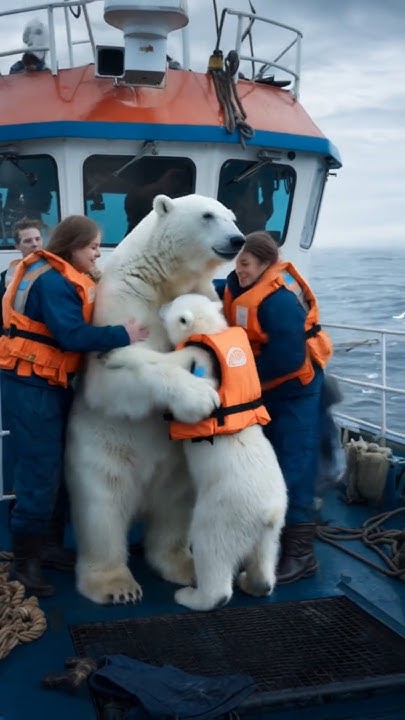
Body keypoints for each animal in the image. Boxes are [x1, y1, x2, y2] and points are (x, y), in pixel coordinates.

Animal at [65, 193, 245, 605]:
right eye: (208, 215)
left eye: (232, 215)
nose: (238, 239)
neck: (162, 277)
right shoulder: (124, 303)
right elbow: (117, 371)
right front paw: (197, 394)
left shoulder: (203, 293)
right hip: (99, 456)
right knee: (102, 512)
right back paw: (115, 585)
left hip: (178, 472)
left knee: (174, 512)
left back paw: (182, 564)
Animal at [159, 293, 288, 611]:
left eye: (174, 306)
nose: (161, 308)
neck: (211, 337)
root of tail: (268, 511)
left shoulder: (197, 361)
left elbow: (194, 405)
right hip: (273, 526)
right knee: (265, 554)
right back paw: (254, 583)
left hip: (225, 509)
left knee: (211, 548)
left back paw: (194, 596)